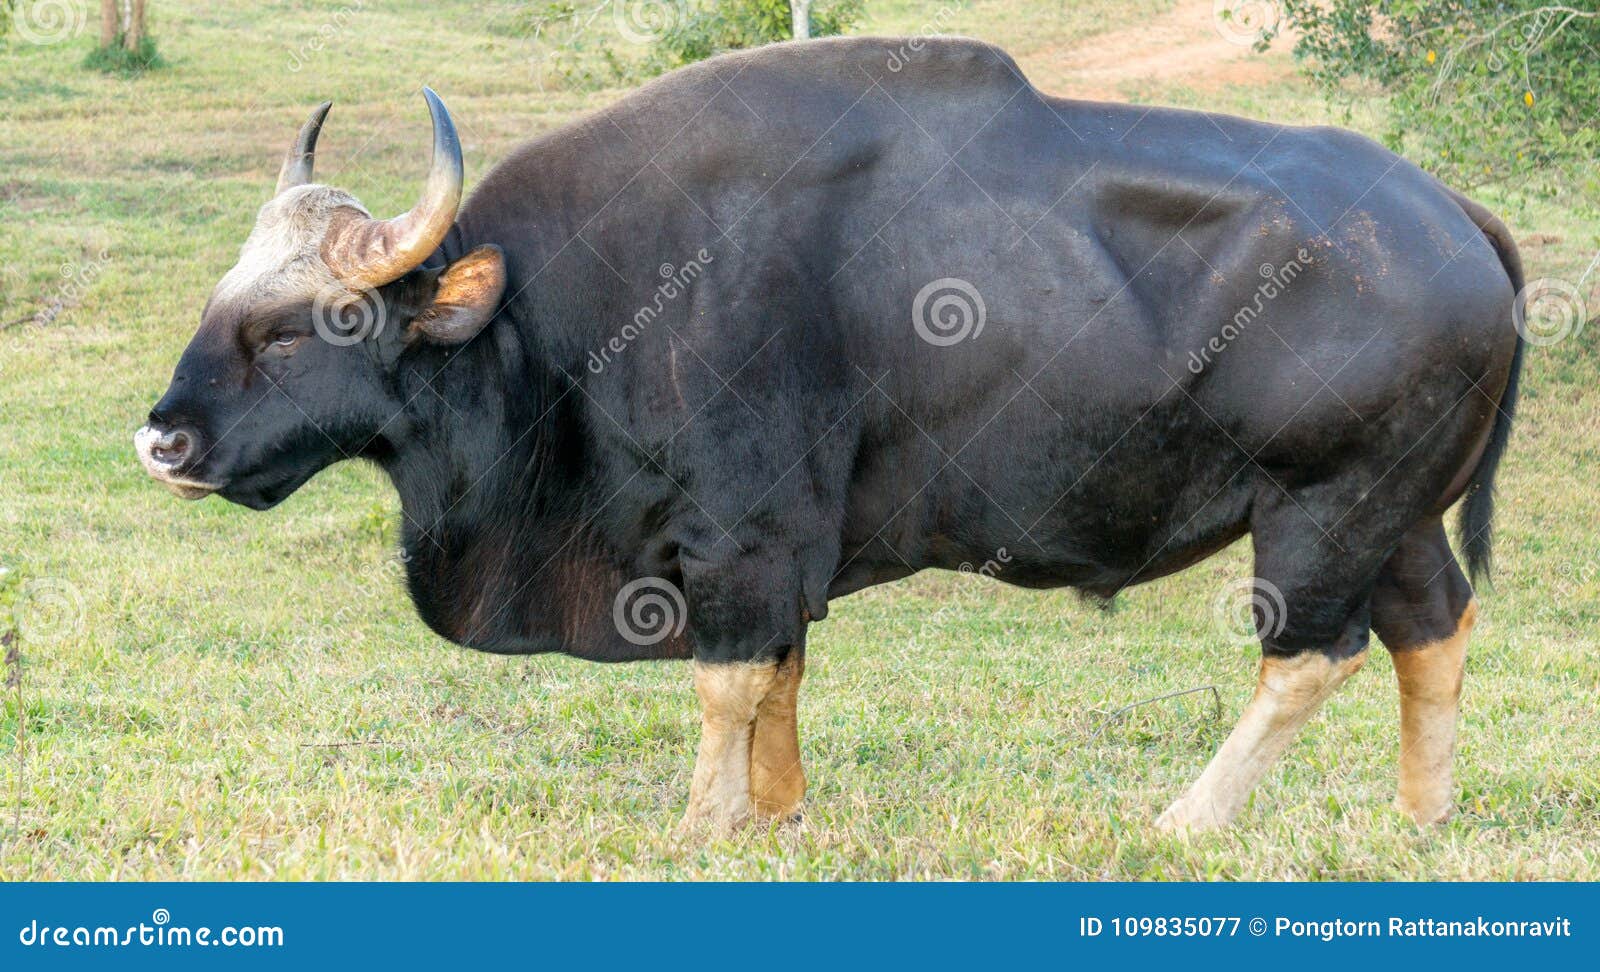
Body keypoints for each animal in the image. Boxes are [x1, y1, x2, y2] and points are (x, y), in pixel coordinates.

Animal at [137, 36, 1523, 831]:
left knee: (1310, 655)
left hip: (1322, 507)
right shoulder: (779, 544)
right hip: (1393, 514)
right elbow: (785, 673)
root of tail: (1453, 216)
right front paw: (779, 814)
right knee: (1432, 628)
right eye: (221, 297)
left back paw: (1185, 821)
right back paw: (1419, 822)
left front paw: (702, 830)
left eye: (308, 324)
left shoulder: (738, 537)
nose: (163, 441)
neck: (557, 317)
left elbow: (729, 679)